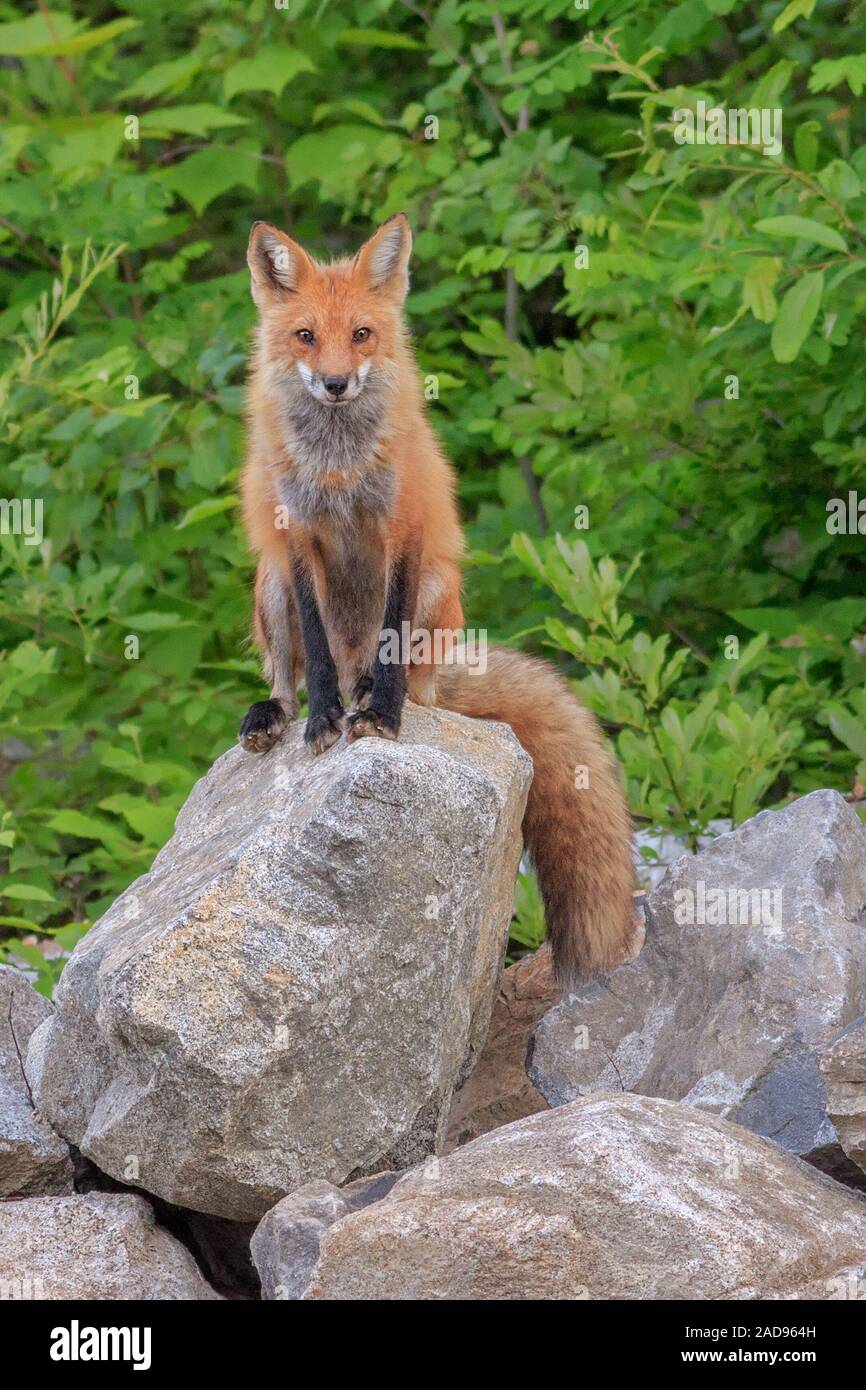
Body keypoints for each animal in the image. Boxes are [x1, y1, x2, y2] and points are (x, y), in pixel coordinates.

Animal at [238, 212, 636, 988]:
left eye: (361, 333)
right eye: (306, 336)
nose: (336, 383)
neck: (339, 467)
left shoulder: (406, 530)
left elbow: (391, 641)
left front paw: (382, 717)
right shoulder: (294, 538)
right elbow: (315, 655)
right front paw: (323, 720)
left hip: (436, 592)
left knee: (402, 670)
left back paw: (377, 694)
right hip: (266, 584)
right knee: (289, 671)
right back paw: (274, 714)